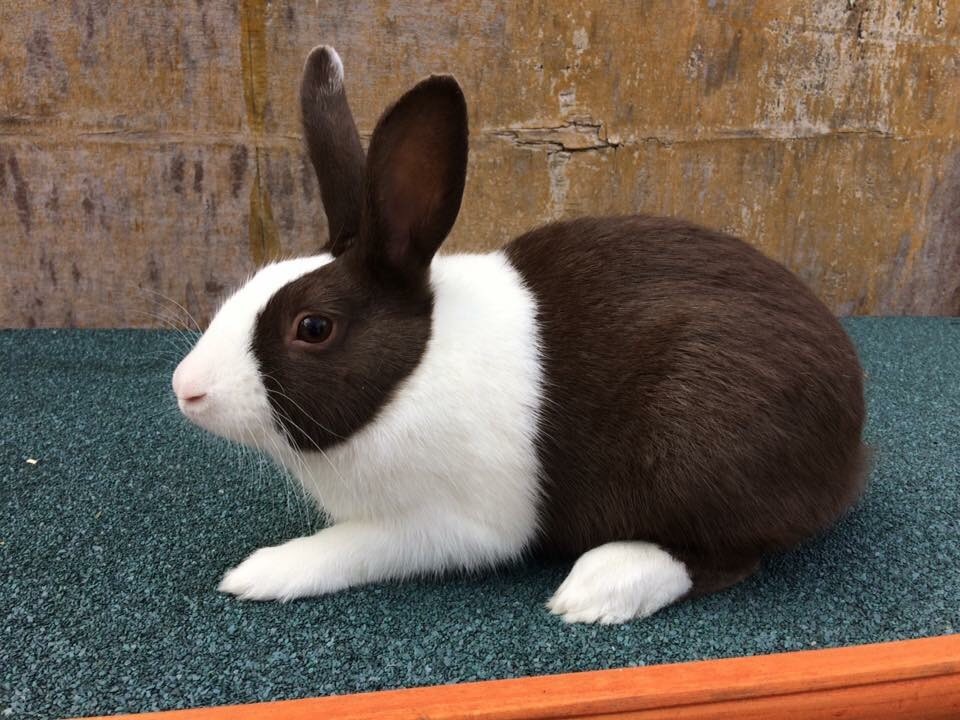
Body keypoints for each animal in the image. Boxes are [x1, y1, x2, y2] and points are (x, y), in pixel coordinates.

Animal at [172, 45, 867, 624]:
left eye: (313, 327)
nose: (185, 389)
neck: (411, 374)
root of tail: (852, 439)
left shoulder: (441, 526)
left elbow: (348, 547)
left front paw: (261, 572)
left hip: (699, 448)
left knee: (729, 555)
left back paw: (599, 587)